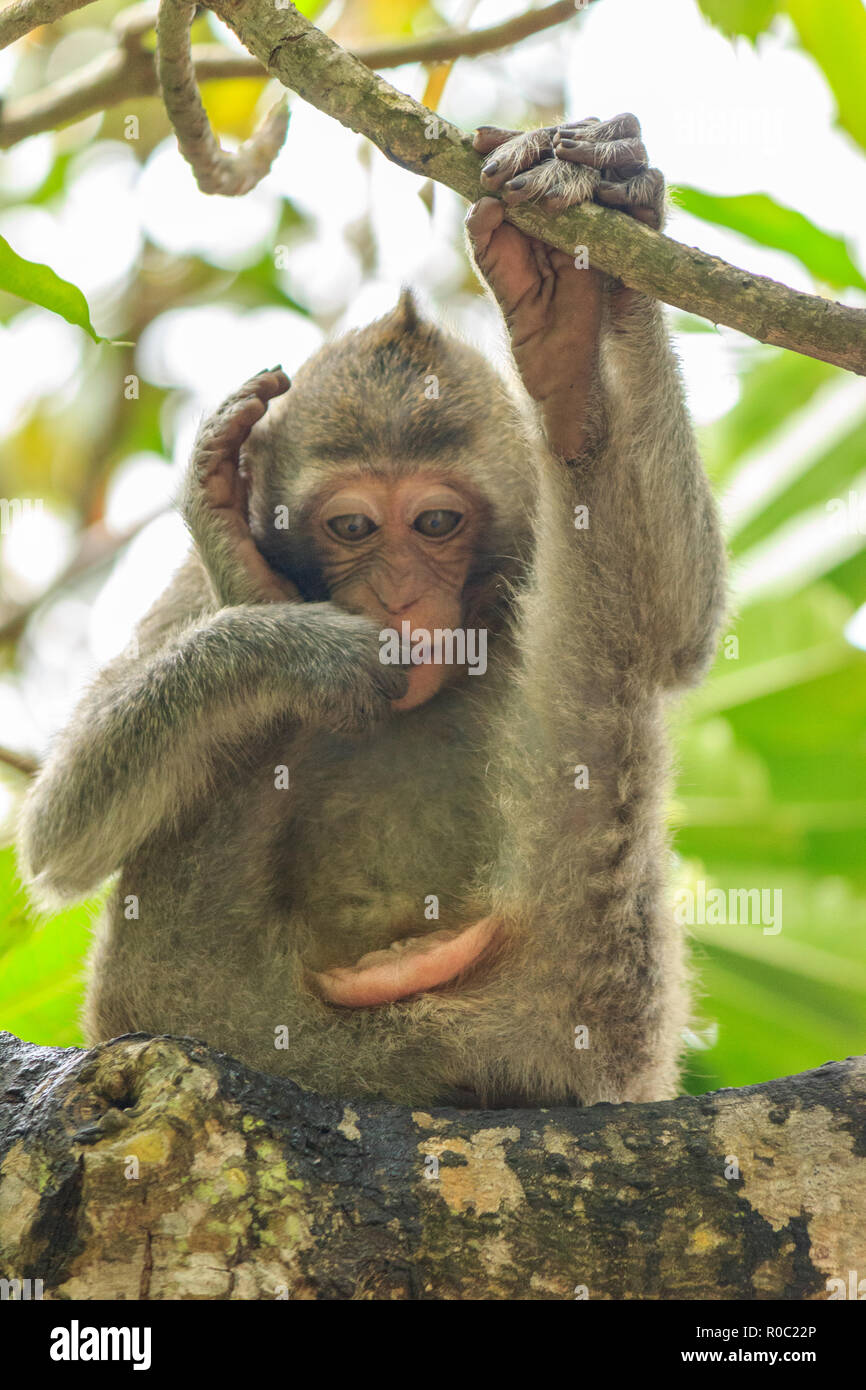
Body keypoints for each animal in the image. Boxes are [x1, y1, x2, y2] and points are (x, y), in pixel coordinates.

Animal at [17, 114, 726, 1108]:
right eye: (352, 526)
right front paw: (282, 630)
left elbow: (677, 630)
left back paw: (569, 377)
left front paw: (615, 211)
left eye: (434, 523)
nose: (397, 596)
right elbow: (63, 833)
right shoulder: (189, 592)